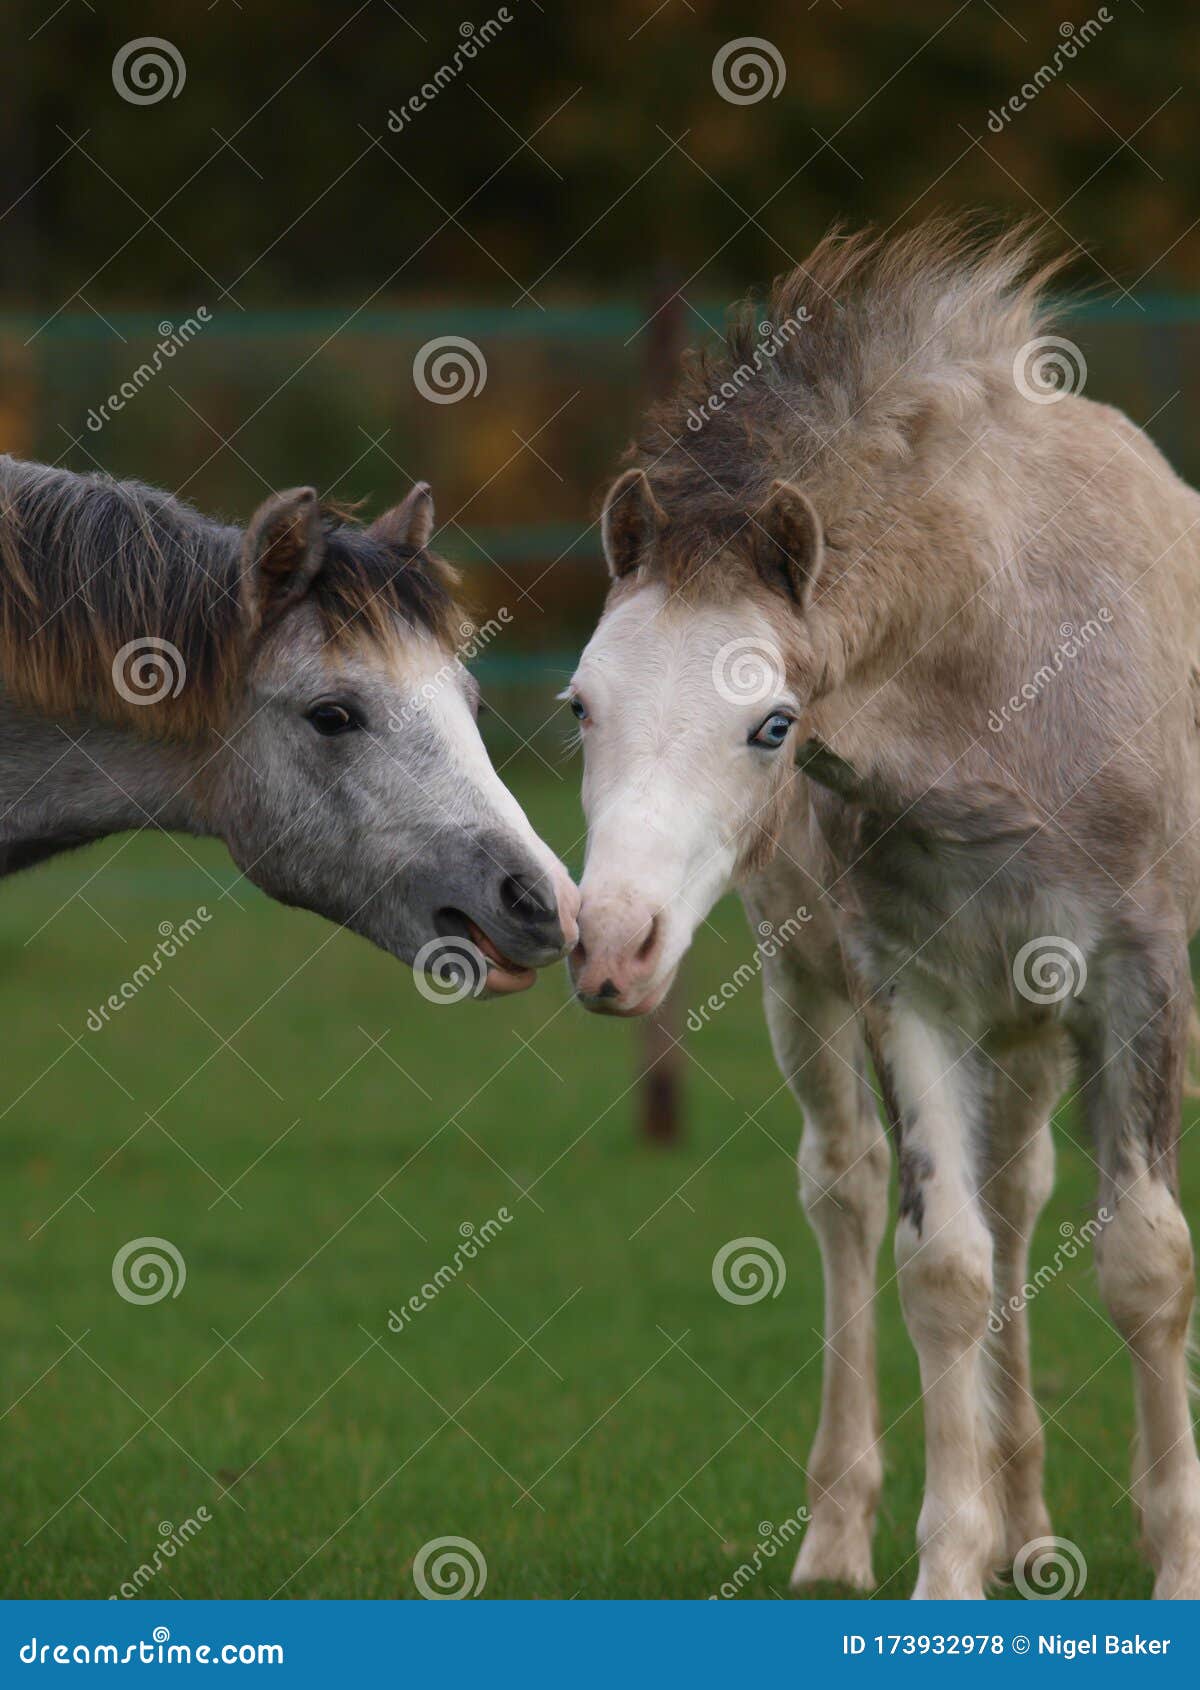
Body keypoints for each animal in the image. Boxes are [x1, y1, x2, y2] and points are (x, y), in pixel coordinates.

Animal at [565, 220, 1200, 1599]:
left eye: (773, 723)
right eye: (580, 704)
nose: (611, 946)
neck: (1001, 673)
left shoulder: (1135, 976)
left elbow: (1145, 1259)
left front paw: (1176, 1563)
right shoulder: (908, 985)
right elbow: (941, 1265)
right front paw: (943, 1568)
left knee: (1018, 1195)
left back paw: (1034, 1530)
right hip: (810, 984)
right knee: (852, 1187)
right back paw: (848, 1536)